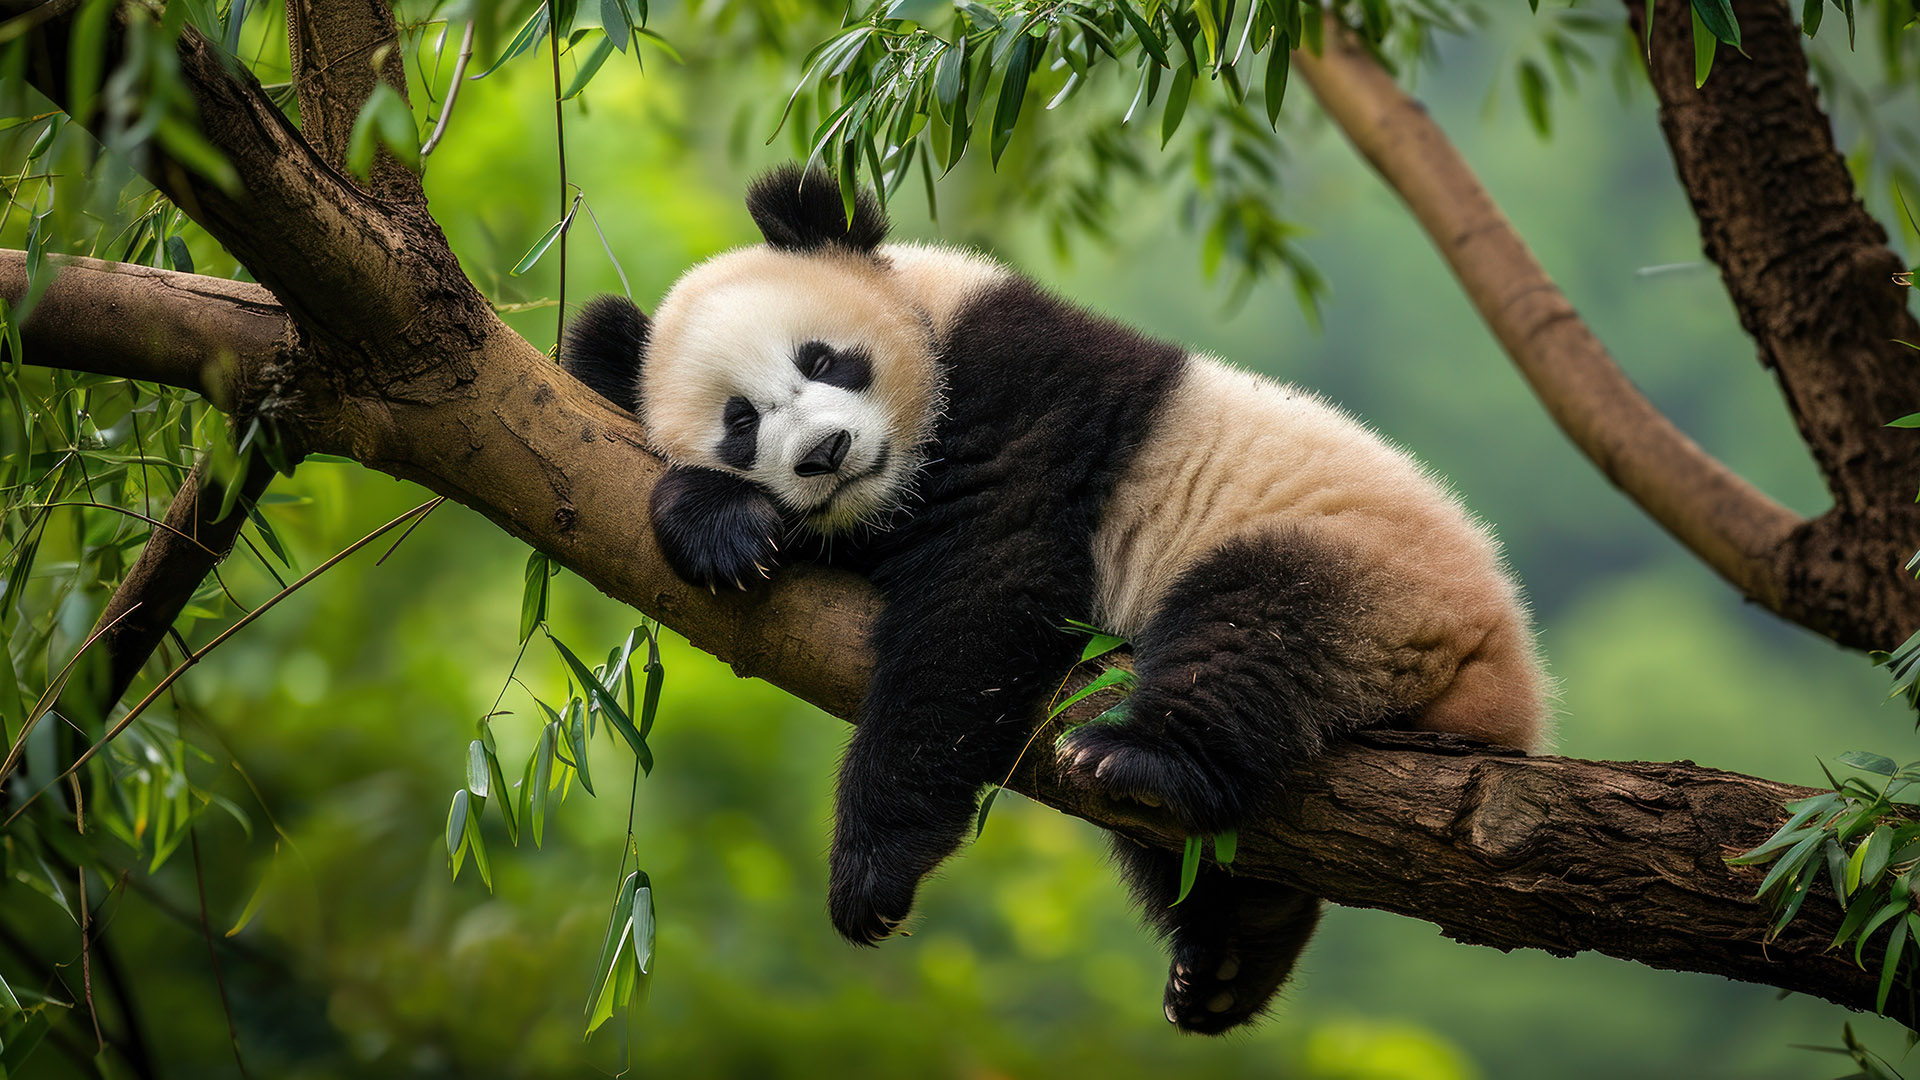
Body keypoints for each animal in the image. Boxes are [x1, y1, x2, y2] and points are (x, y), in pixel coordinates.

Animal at [561, 164, 1548, 1035]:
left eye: (826, 360)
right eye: (740, 423)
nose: (826, 452)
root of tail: (1511, 684)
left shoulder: (1023, 391)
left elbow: (984, 601)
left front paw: (872, 872)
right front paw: (721, 526)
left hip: (1375, 581)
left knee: (1255, 629)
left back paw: (1138, 760)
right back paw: (1232, 956)